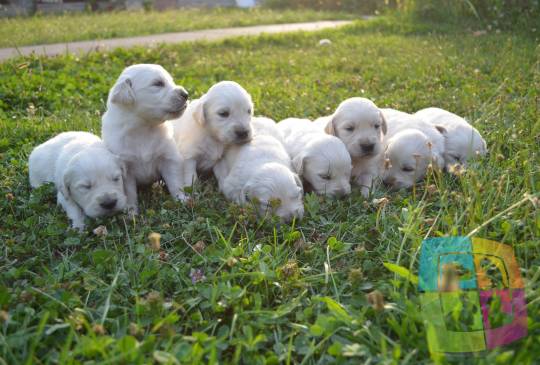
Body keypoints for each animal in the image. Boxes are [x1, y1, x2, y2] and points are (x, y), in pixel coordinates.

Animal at [102, 63, 190, 213]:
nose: (186, 94)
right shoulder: (126, 168)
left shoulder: (169, 158)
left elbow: (175, 182)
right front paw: (131, 211)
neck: (145, 128)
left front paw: (181, 200)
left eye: (171, 81)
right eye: (158, 83)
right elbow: (130, 192)